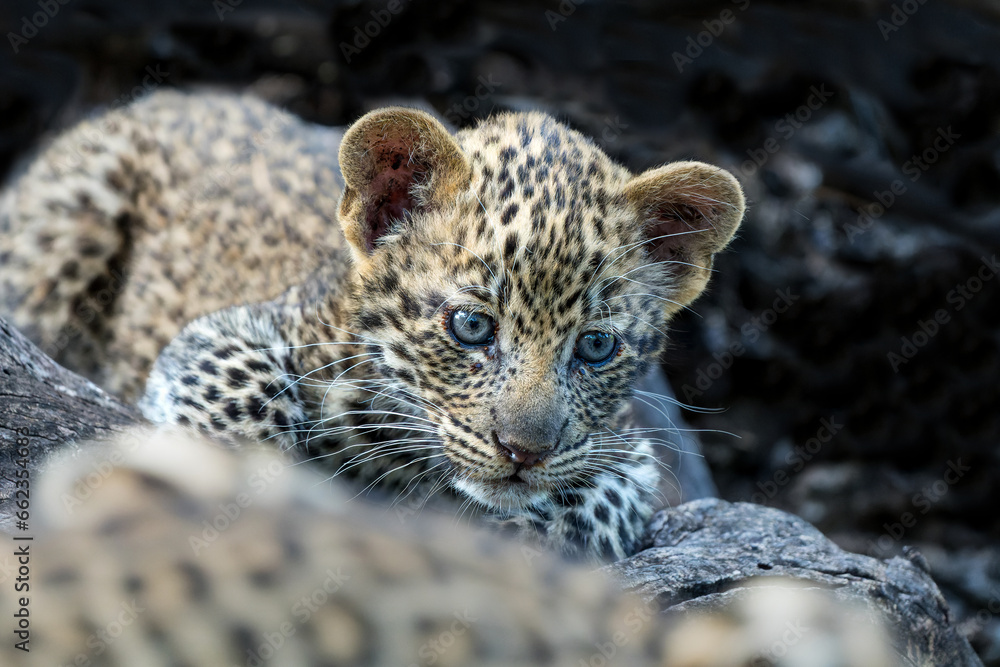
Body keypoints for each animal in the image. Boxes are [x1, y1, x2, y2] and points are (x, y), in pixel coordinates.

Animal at [0, 90, 745, 563]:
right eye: (470, 327)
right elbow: (246, 397)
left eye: (595, 346)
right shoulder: (224, 334)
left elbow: (601, 500)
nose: (523, 452)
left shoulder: (627, 446)